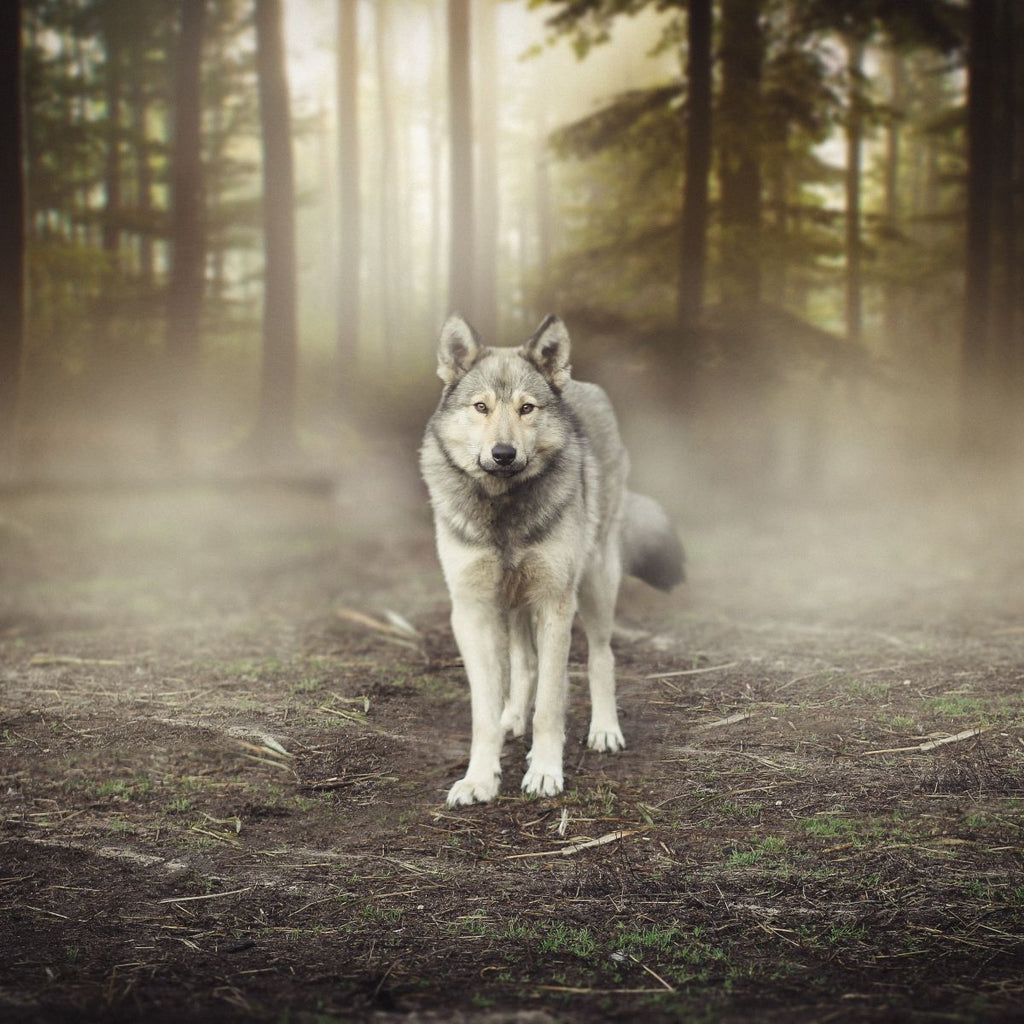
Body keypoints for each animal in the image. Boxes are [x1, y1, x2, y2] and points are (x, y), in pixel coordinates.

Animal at [420, 314, 684, 807]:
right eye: (481, 407)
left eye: (527, 409)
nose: (503, 454)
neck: (505, 509)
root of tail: (582, 383)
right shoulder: (472, 612)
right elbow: (484, 712)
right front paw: (479, 778)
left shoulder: (555, 604)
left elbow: (550, 704)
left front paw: (544, 772)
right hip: (514, 603)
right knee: (524, 665)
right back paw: (512, 719)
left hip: (595, 585)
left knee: (601, 657)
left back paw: (604, 730)